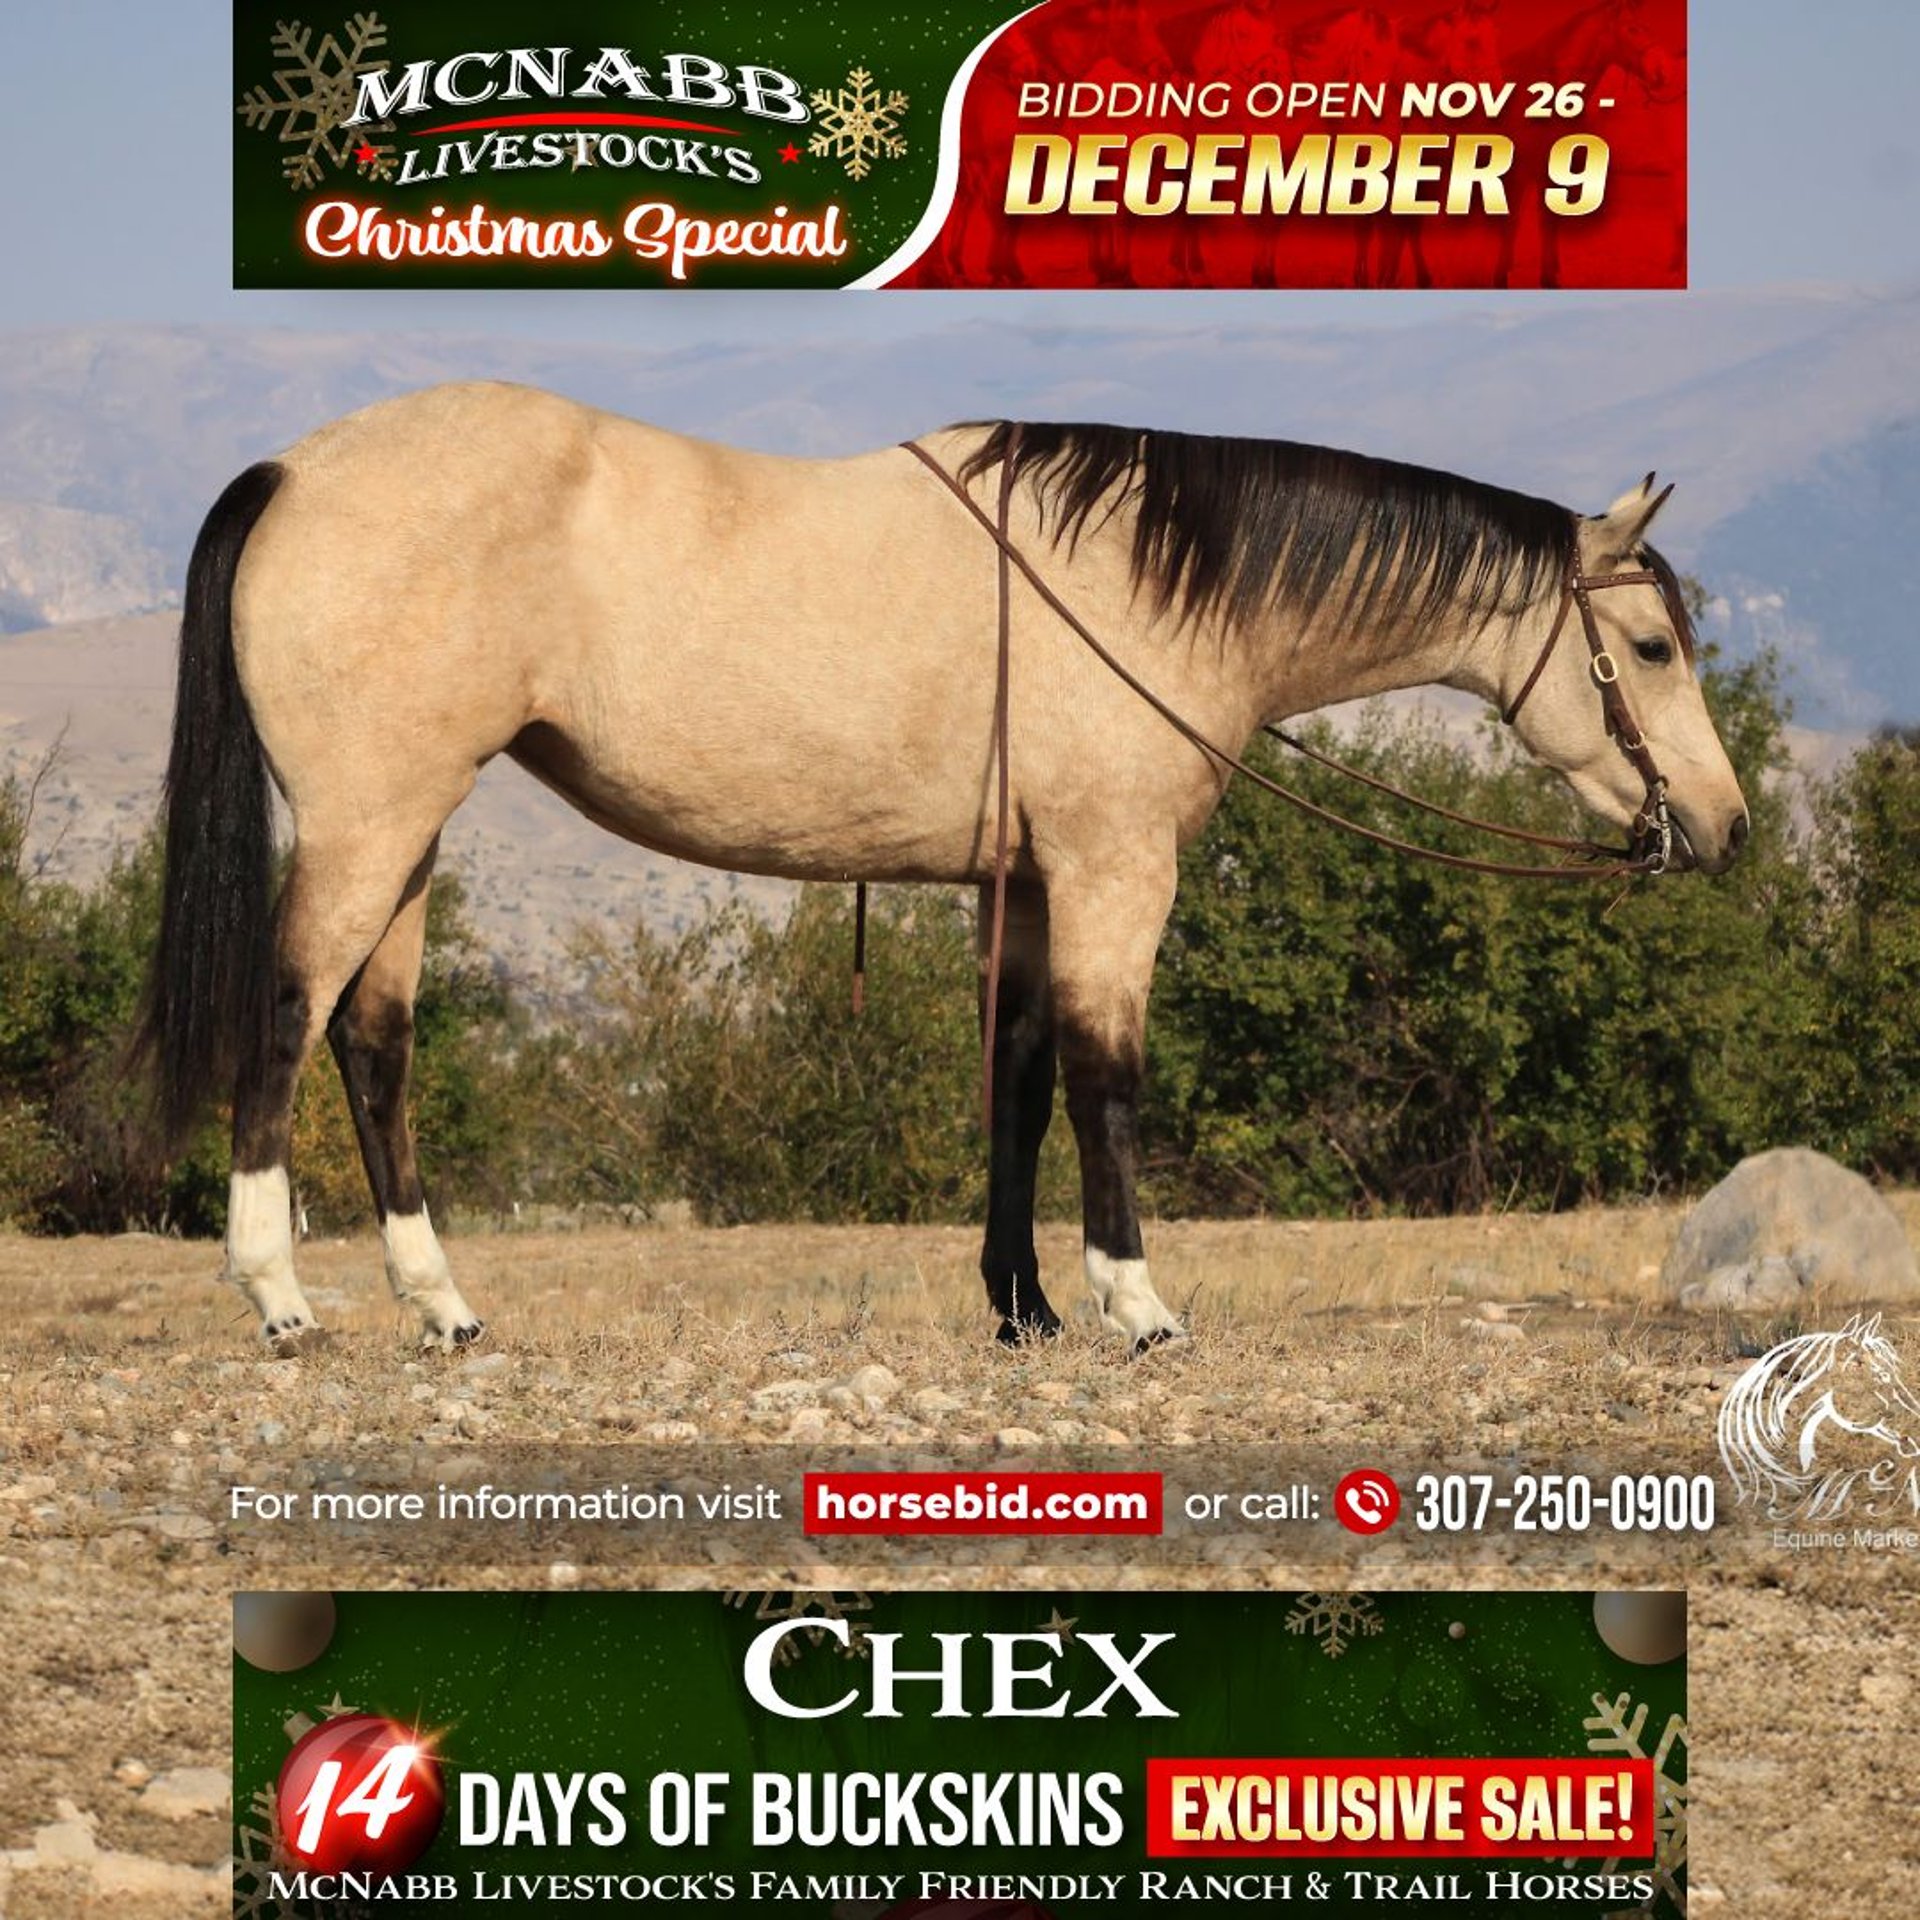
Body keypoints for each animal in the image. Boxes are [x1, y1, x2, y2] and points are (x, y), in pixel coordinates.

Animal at [139, 385, 1750, 1354]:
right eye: (1650, 647)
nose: (1725, 827)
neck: (1149, 584)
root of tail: (295, 469)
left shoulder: (1025, 886)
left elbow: (1023, 1079)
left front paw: (1023, 1307)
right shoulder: (1112, 870)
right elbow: (1107, 1077)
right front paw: (1132, 1303)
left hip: (411, 837)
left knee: (375, 1041)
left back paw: (443, 1305)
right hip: (367, 825)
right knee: (286, 1021)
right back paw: (279, 1296)